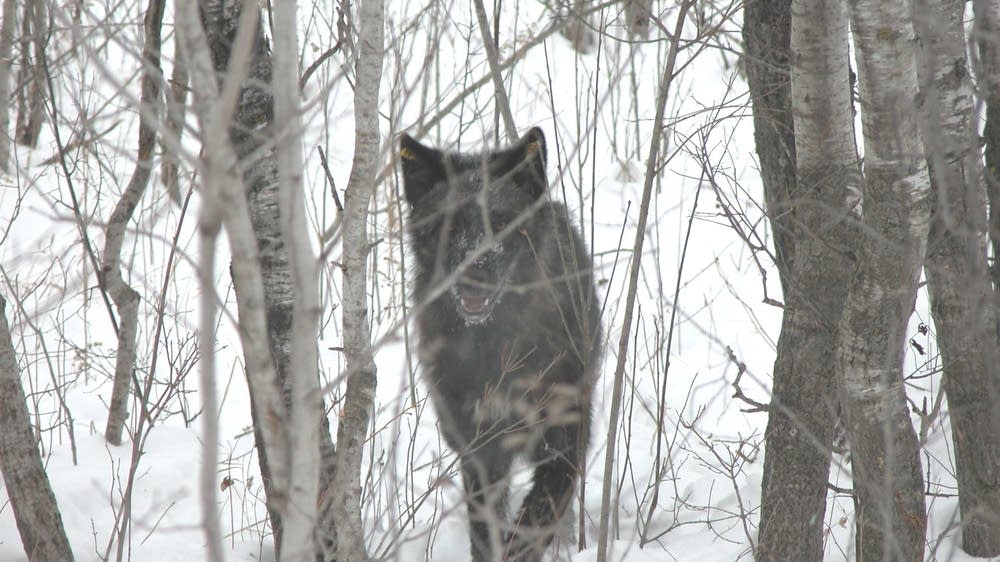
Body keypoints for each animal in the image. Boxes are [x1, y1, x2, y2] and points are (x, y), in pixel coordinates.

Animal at [399, 127, 602, 562]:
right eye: (451, 226)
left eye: (502, 222)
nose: (473, 271)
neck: (494, 343)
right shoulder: (479, 448)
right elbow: (484, 527)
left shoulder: (565, 436)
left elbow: (539, 513)